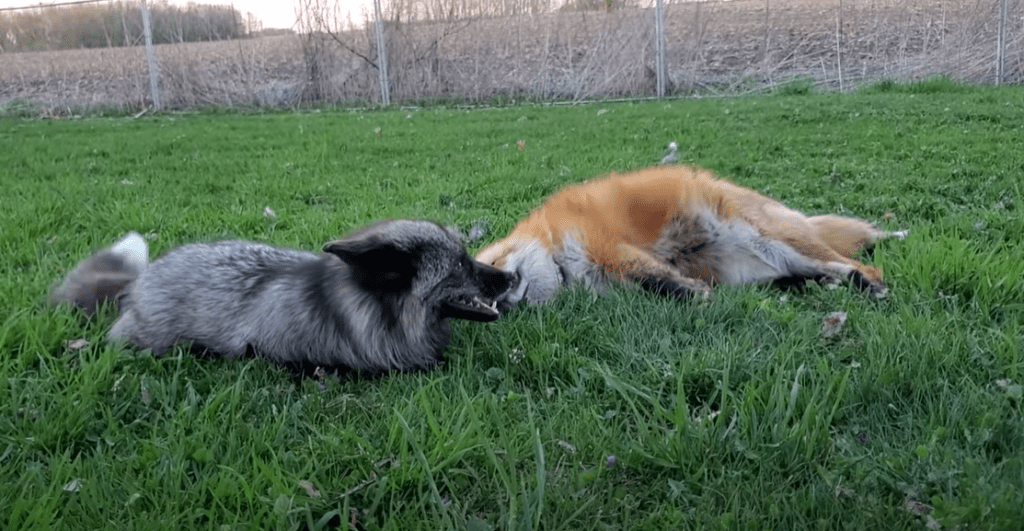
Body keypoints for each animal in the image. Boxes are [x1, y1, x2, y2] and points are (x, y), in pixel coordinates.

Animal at [476, 165, 905, 310]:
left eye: (492, 265)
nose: (493, 301)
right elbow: (656, 285)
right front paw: (691, 293)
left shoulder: (607, 248)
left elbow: (654, 276)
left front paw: (695, 296)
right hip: (760, 269)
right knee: (808, 274)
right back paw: (824, 285)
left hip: (774, 241)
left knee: (864, 266)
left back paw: (868, 283)